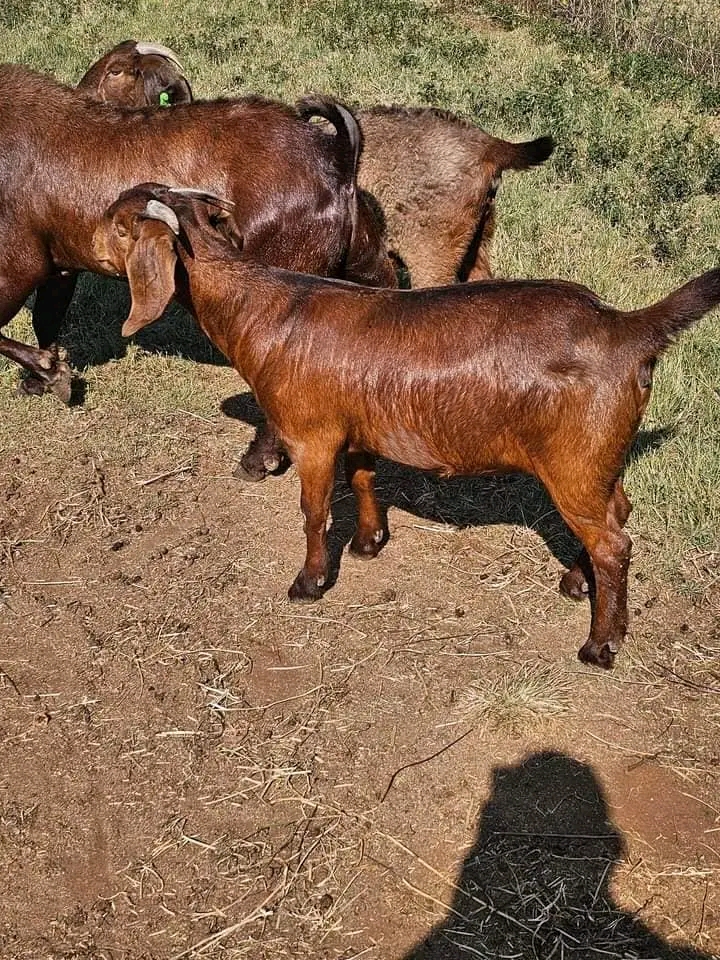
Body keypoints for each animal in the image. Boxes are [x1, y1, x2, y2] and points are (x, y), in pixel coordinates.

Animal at [0, 63, 391, 402]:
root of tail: (336, 157)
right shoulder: (60, 263)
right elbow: (46, 318)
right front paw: (42, 379)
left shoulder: (21, 265)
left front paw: (51, 374)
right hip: (367, 266)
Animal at [93, 184, 720, 669]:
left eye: (121, 225)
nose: (88, 243)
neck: (263, 307)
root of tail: (626, 328)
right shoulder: (356, 427)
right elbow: (364, 479)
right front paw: (369, 543)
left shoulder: (311, 434)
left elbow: (314, 510)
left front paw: (308, 583)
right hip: (597, 457)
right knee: (620, 511)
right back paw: (576, 582)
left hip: (574, 460)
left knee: (614, 542)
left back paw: (600, 644)